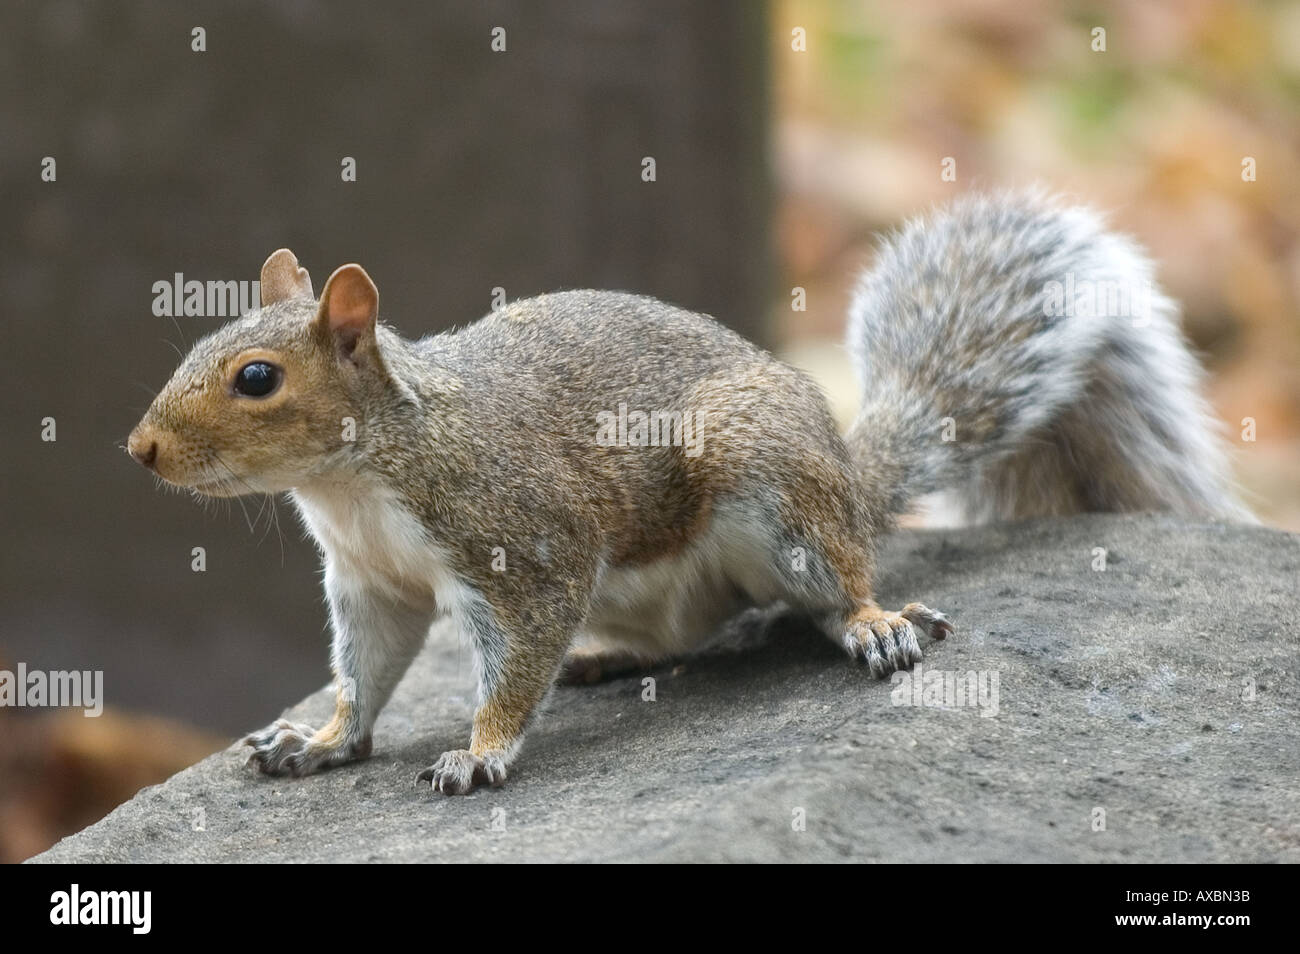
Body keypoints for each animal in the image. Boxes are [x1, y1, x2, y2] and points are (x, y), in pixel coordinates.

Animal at [127, 188, 1251, 795]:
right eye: (199, 341)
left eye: (257, 378)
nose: (140, 450)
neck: (359, 481)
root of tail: (848, 475)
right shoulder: (374, 585)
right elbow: (363, 673)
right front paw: (319, 741)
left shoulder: (522, 545)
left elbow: (514, 660)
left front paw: (479, 754)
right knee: (689, 631)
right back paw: (607, 661)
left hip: (771, 481)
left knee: (829, 580)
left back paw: (875, 621)